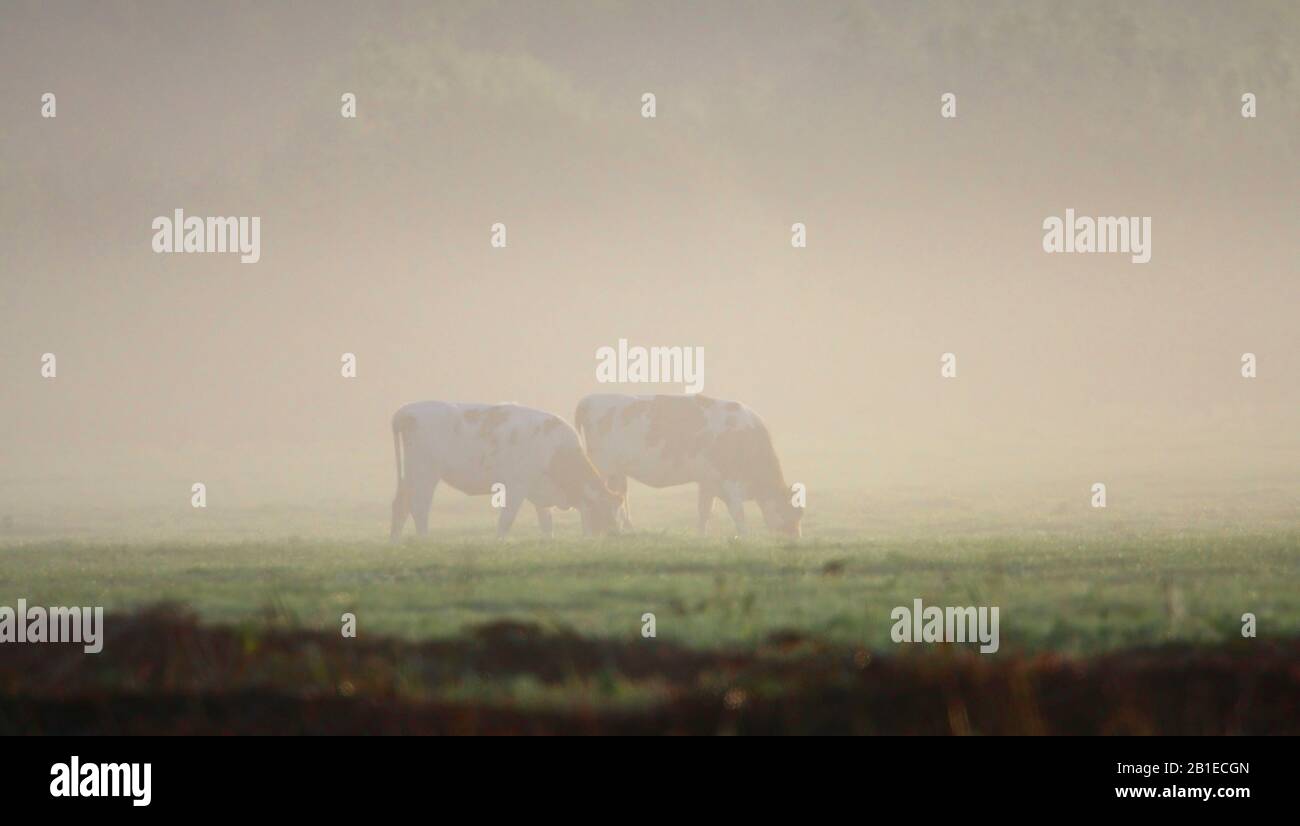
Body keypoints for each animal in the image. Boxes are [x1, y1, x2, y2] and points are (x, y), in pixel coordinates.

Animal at [389, 401, 623, 541]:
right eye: (607, 511)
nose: (615, 534)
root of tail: (407, 411)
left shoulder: (539, 490)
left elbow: (546, 522)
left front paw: (548, 542)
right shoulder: (516, 487)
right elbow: (506, 520)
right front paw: (499, 542)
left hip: (410, 475)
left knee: (400, 505)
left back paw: (396, 542)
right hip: (424, 473)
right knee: (419, 506)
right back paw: (424, 539)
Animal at [575, 394, 802, 538]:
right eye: (794, 511)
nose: (795, 538)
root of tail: (589, 399)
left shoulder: (709, 482)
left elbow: (704, 511)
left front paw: (701, 537)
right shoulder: (730, 481)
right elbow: (738, 513)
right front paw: (745, 538)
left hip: (616, 473)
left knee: (619, 501)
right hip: (600, 467)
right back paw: (589, 534)